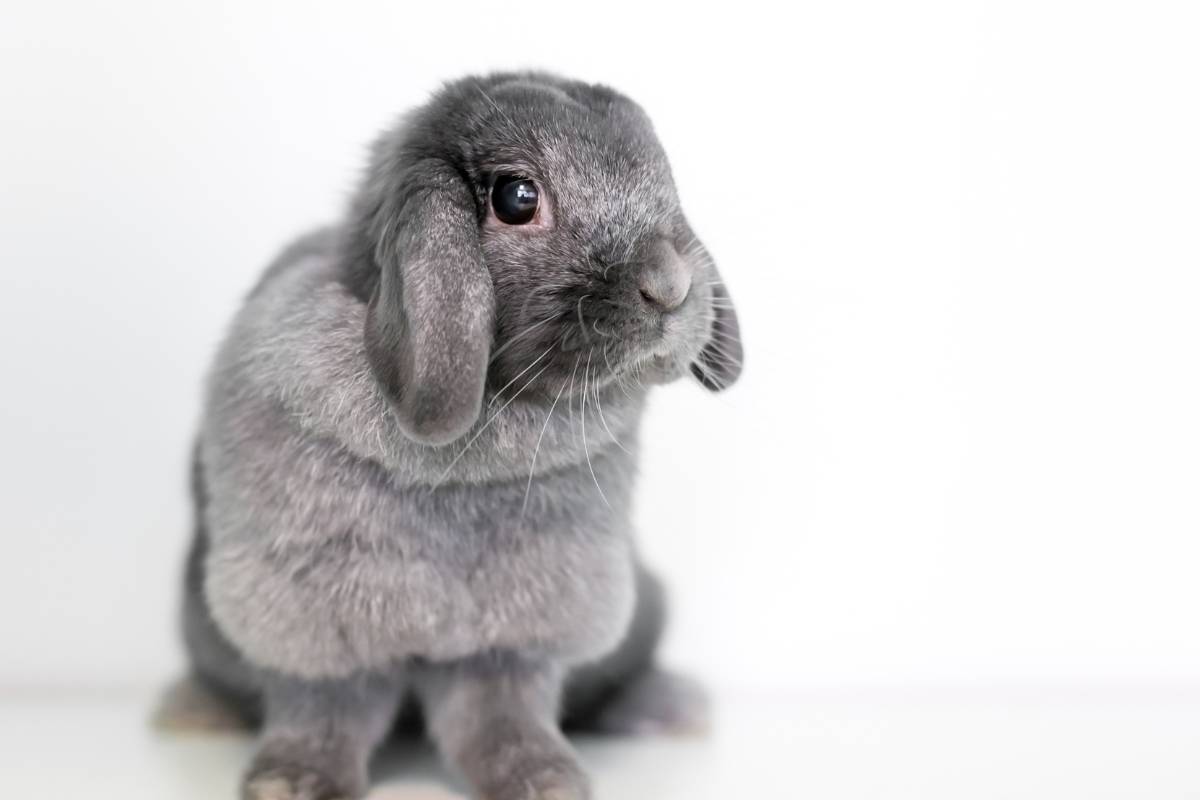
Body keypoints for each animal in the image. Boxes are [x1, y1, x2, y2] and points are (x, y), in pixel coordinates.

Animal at [169, 71, 743, 800]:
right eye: (517, 198)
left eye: (666, 180)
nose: (671, 285)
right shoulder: (316, 614)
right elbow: (326, 708)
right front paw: (291, 782)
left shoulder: (518, 627)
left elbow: (498, 714)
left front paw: (544, 780)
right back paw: (193, 711)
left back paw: (668, 708)